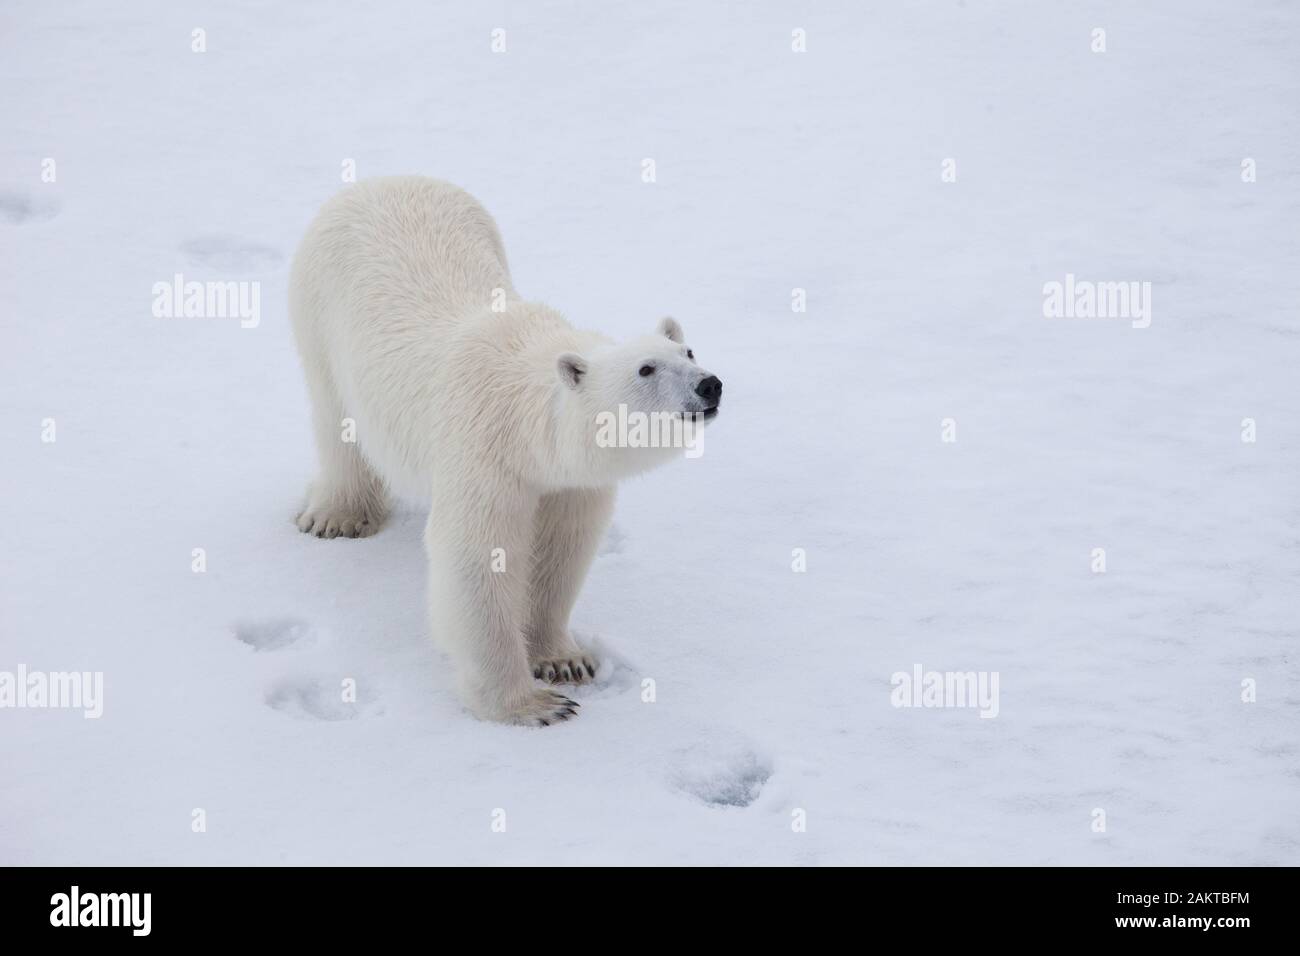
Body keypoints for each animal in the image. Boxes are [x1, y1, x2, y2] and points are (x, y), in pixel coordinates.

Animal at [289, 176, 722, 726]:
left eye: (688, 351)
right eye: (645, 369)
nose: (709, 385)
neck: (526, 420)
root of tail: (384, 180)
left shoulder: (570, 483)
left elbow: (561, 550)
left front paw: (564, 660)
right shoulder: (485, 452)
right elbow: (477, 559)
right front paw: (530, 705)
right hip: (319, 308)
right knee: (336, 418)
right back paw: (337, 516)